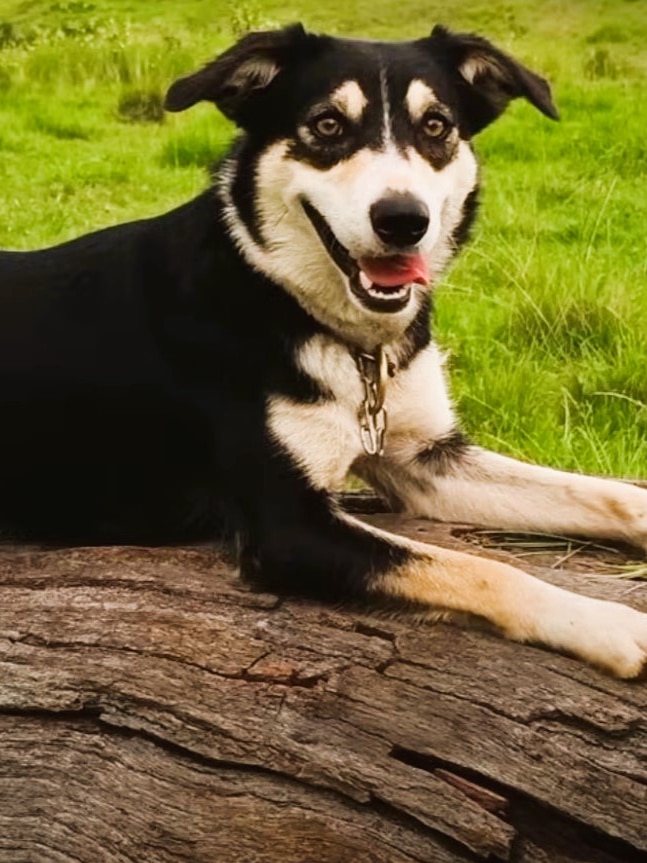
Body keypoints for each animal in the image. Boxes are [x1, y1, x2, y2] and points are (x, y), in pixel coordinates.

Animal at [1, 23, 647, 680]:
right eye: (328, 124)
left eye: (436, 125)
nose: (402, 220)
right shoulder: (289, 527)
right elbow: (481, 569)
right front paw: (607, 624)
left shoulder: (426, 461)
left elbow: (607, 494)